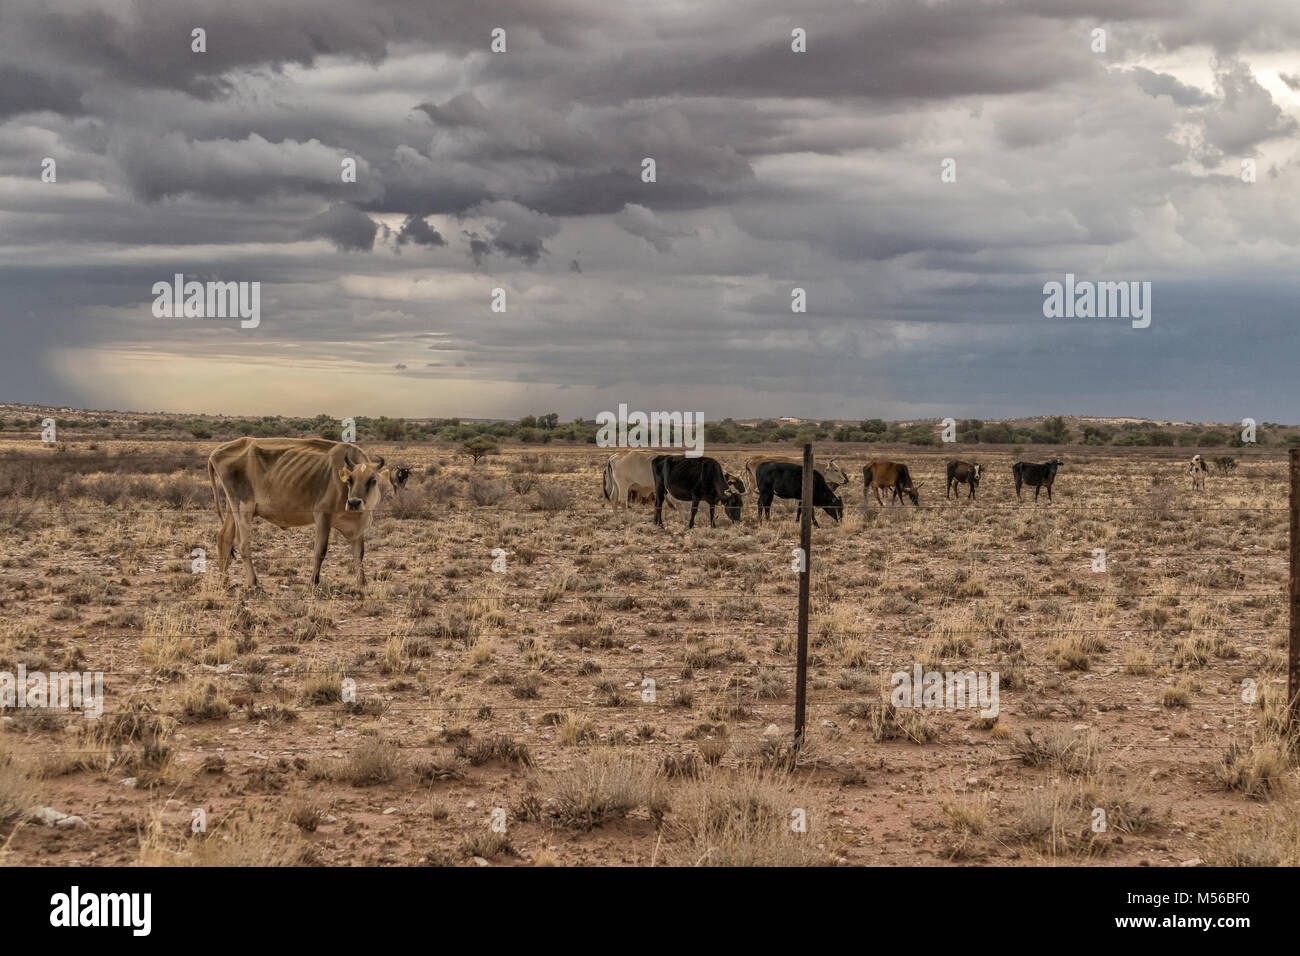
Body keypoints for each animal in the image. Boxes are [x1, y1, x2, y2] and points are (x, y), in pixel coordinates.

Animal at [207, 438, 406, 588]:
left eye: (372, 480)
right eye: (350, 479)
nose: (354, 502)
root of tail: (217, 451)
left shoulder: (358, 528)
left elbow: (359, 553)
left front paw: (362, 582)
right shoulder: (323, 516)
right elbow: (320, 550)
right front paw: (313, 582)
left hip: (233, 508)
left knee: (224, 538)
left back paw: (225, 582)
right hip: (244, 509)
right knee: (243, 545)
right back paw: (254, 583)